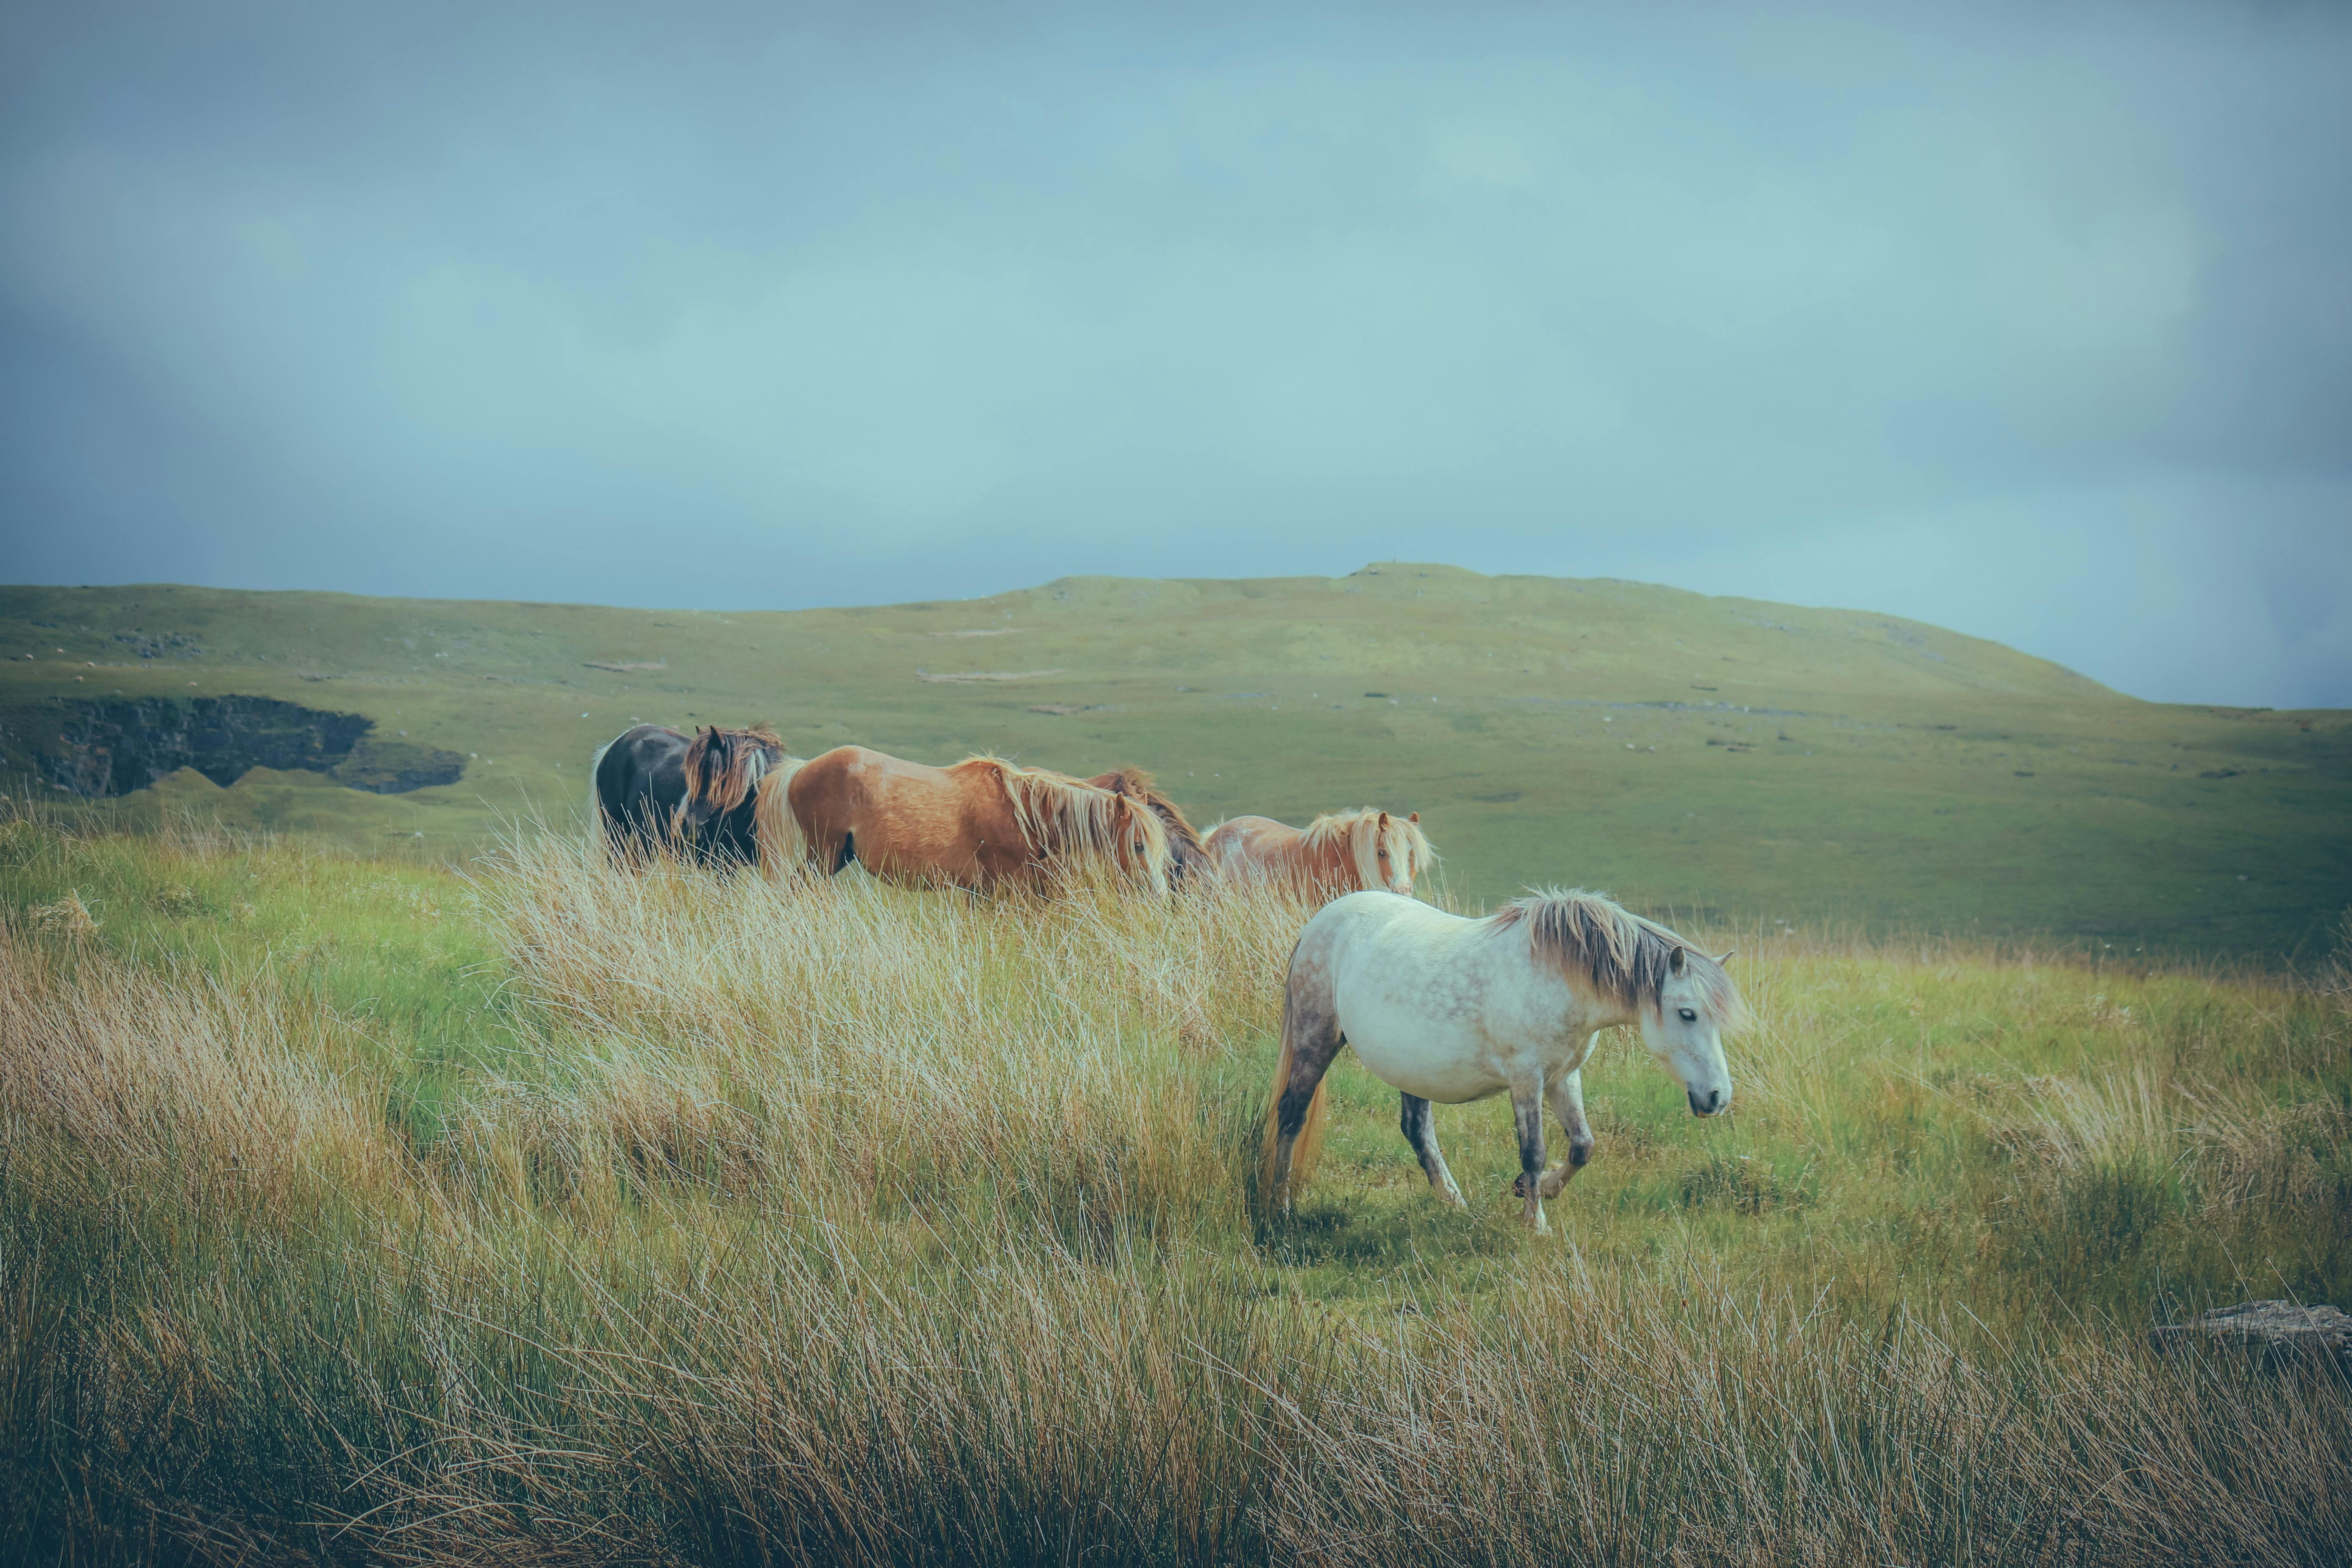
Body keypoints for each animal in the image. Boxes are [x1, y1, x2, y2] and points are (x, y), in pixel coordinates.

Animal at [754, 746, 1171, 892]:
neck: (1022, 814)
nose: (1156, 893)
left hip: (837, 855)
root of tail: (803, 768)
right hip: (824, 853)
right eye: (1138, 845)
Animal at [1262, 888, 1746, 1233]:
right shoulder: (1526, 1079)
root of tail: (1319, 924)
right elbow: (1534, 1150)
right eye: (1687, 1013)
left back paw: (1455, 1204)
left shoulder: (1563, 1076)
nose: (1717, 1097)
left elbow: (1583, 1146)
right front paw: (1536, 1223)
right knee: (1292, 1114)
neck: (1557, 974)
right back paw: (1280, 1207)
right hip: (1315, 1041)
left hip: (1413, 1070)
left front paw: (1535, 1190)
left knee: (1418, 1131)